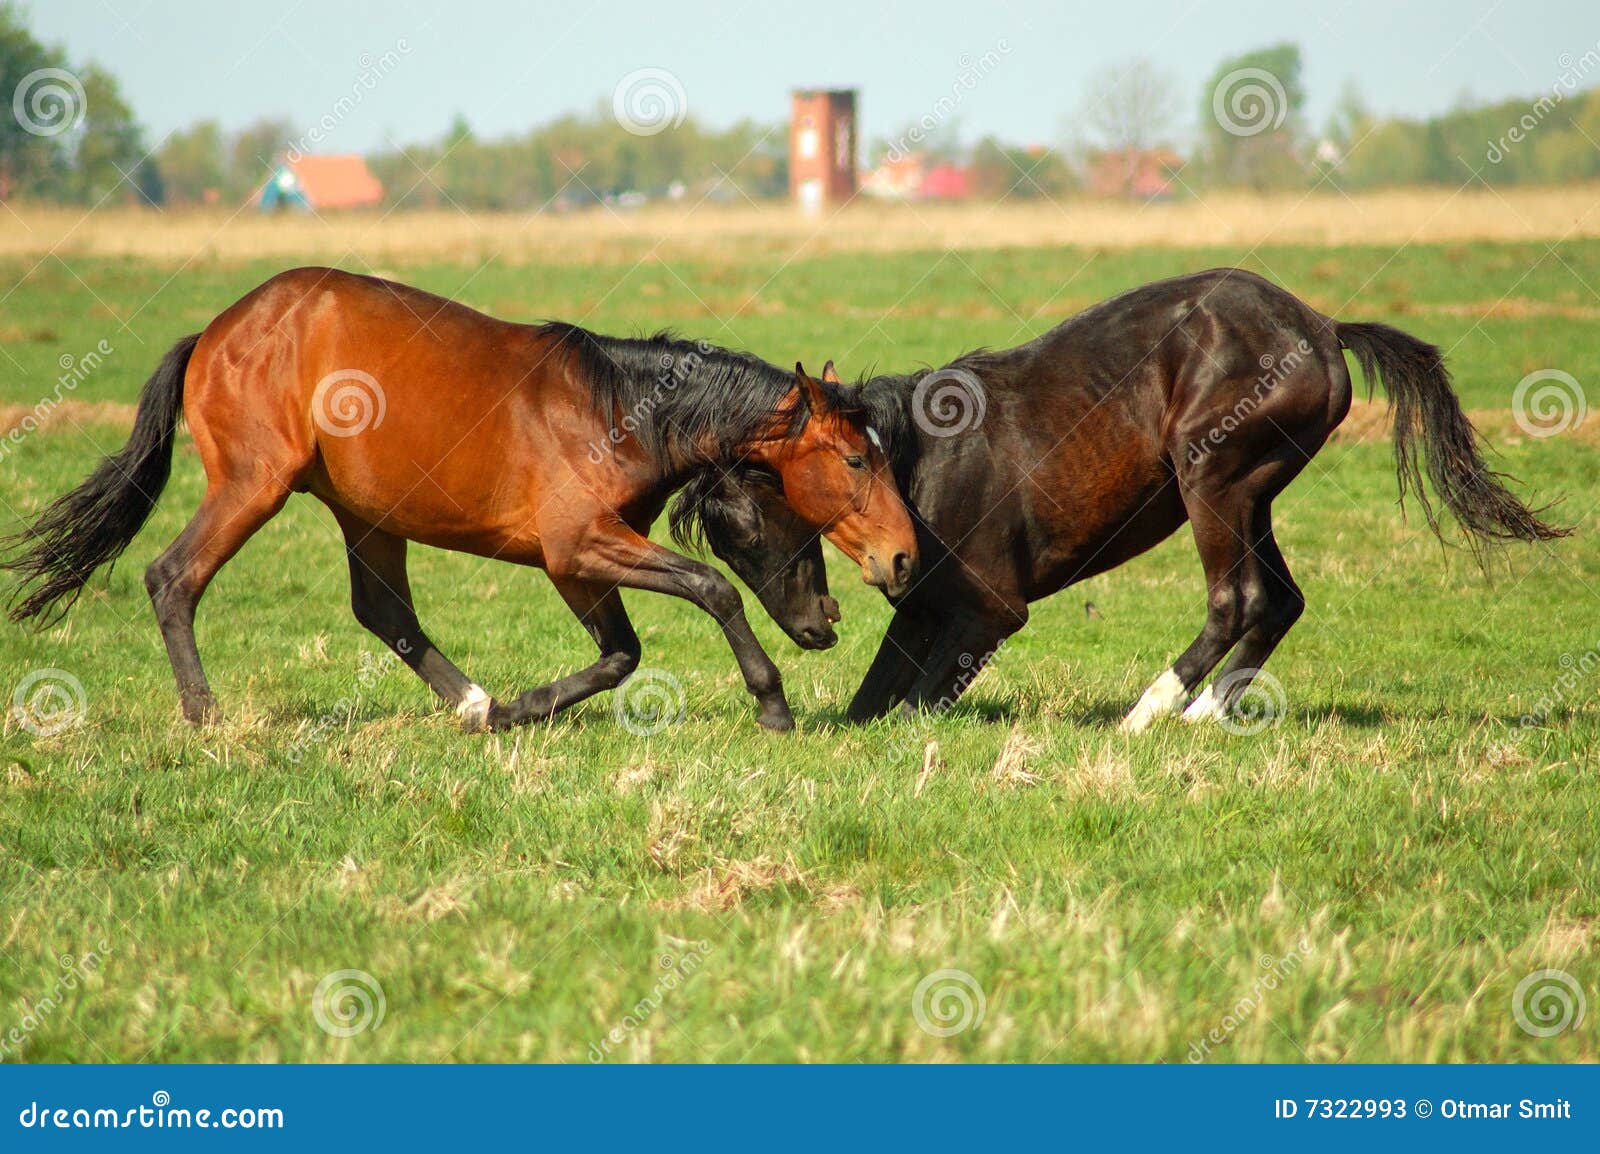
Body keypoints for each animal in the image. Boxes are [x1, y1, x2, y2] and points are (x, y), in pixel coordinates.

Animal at [2, 267, 917, 734]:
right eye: (854, 458)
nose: (901, 561)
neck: (617, 411)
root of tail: (216, 333)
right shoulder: (579, 543)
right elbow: (712, 590)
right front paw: (773, 706)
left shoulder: (574, 563)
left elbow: (621, 654)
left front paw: (516, 708)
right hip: (252, 486)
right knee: (173, 577)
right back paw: (205, 714)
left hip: (367, 516)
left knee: (384, 613)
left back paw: (472, 704)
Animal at [681, 268, 1567, 730]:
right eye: (726, 540)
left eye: (752, 524)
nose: (811, 627)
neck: (916, 465)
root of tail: (1320, 328)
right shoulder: (927, 607)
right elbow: (872, 703)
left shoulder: (987, 613)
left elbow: (913, 708)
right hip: (1253, 493)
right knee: (1280, 600)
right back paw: (1205, 713)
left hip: (1215, 479)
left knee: (1237, 600)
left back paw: (1148, 713)